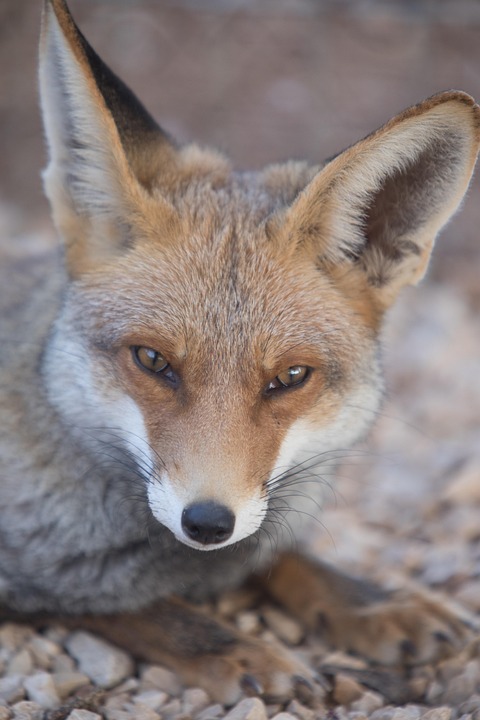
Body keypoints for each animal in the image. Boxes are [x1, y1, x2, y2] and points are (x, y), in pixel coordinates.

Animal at [0, 0, 479, 706]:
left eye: (291, 376)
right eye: (153, 361)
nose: (206, 522)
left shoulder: (256, 524)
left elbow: (285, 555)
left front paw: (375, 604)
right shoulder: (45, 581)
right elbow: (143, 607)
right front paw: (242, 650)